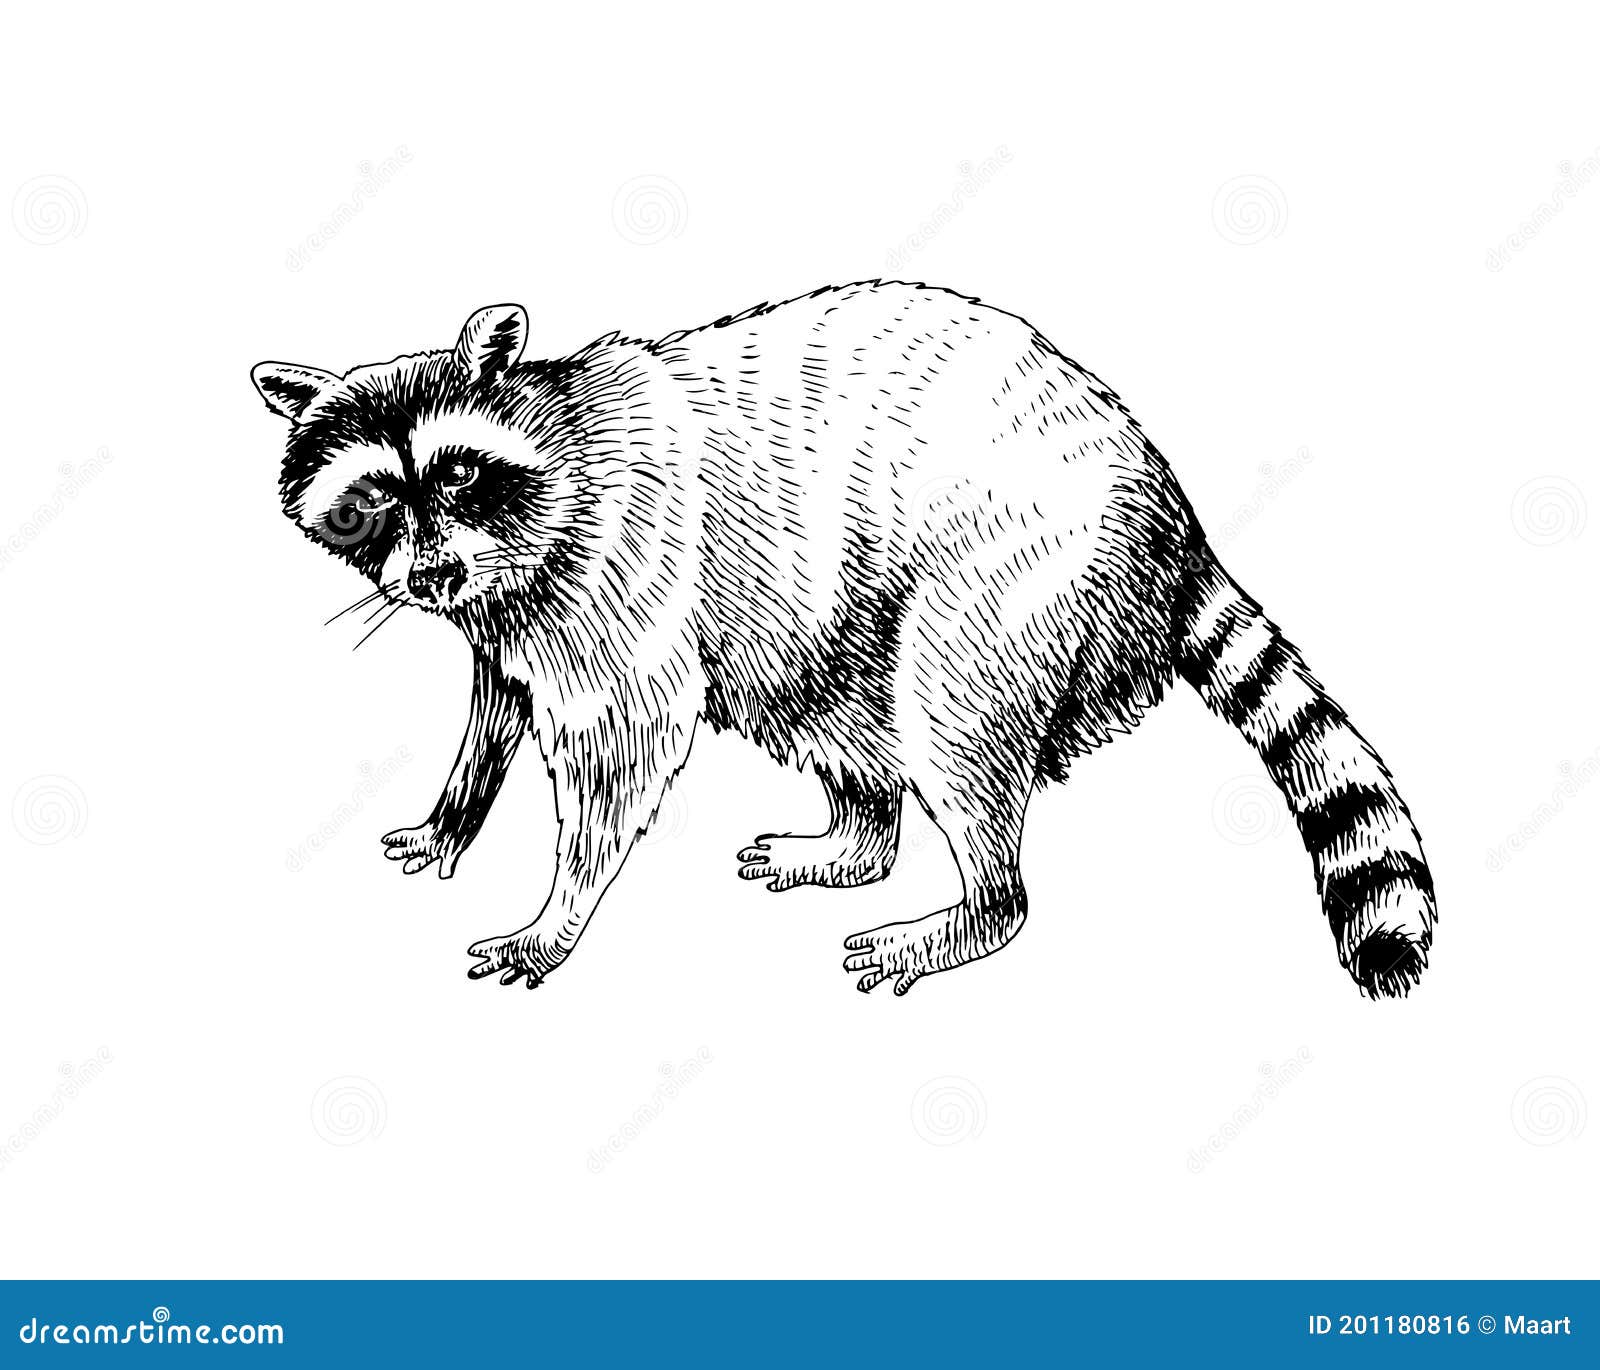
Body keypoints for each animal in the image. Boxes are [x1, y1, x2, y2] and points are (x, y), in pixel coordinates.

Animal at [253, 282, 1435, 998]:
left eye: (456, 473)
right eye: (369, 501)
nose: (428, 575)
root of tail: (1168, 509)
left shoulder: (620, 571)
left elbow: (624, 749)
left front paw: (559, 914)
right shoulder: (508, 608)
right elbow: (496, 706)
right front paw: (454, 814)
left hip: (1017, 571)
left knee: (952, 716)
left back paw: (977, 904)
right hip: (845, 606)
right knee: (831, 701)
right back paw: (857, 841)